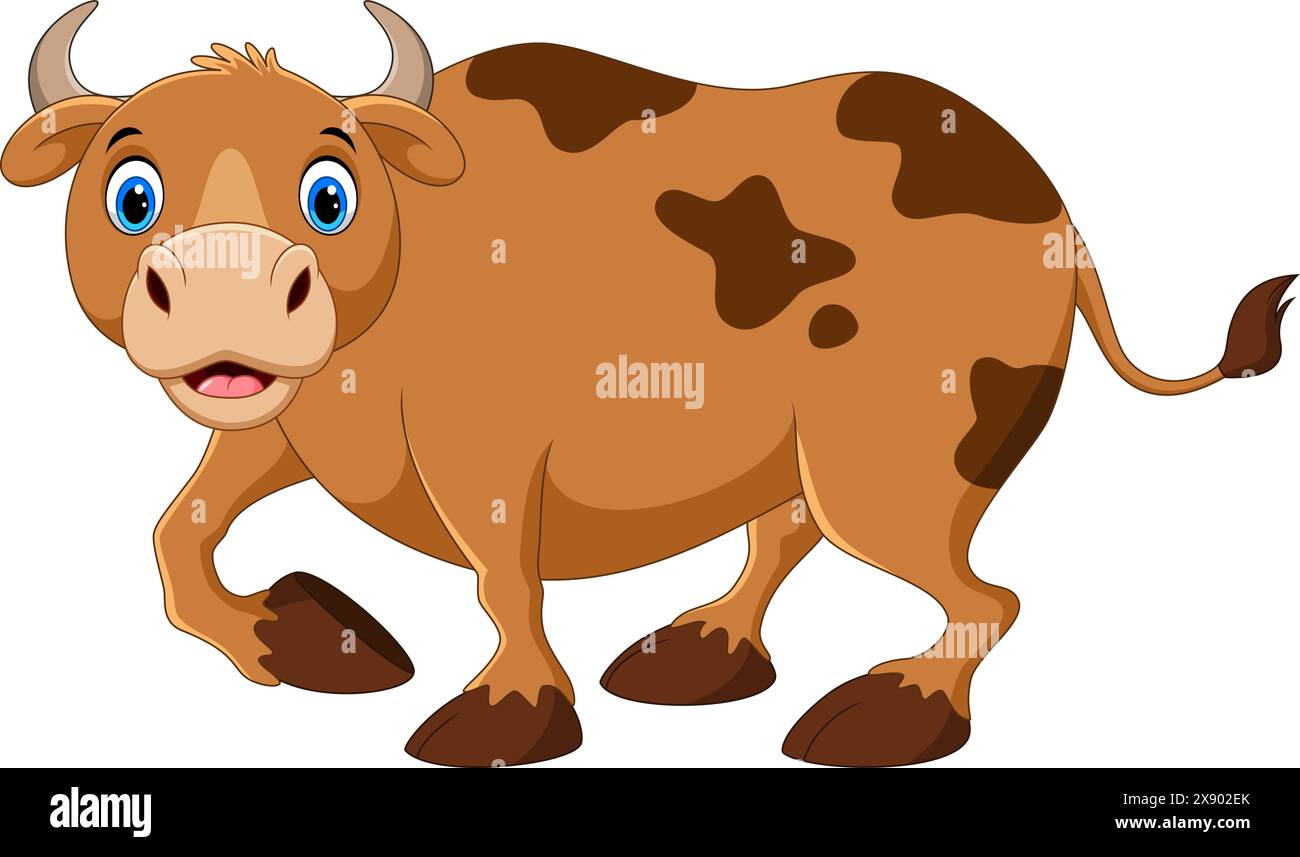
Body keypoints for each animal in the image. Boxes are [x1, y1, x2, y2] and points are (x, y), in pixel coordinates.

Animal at [3, 2, 1291, 767]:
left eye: (331, 190)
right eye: (131, 193)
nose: (224, 286)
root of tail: (1059, 215)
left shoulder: (485, 456)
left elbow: (503, 580)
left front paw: (504, 714)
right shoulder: (288, 423)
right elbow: (178, 530)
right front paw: (308, 639)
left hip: (895, 467)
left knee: (980, 589)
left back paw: (882, 715)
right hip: (819, 449)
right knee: (785, 531)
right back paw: (701, 652)